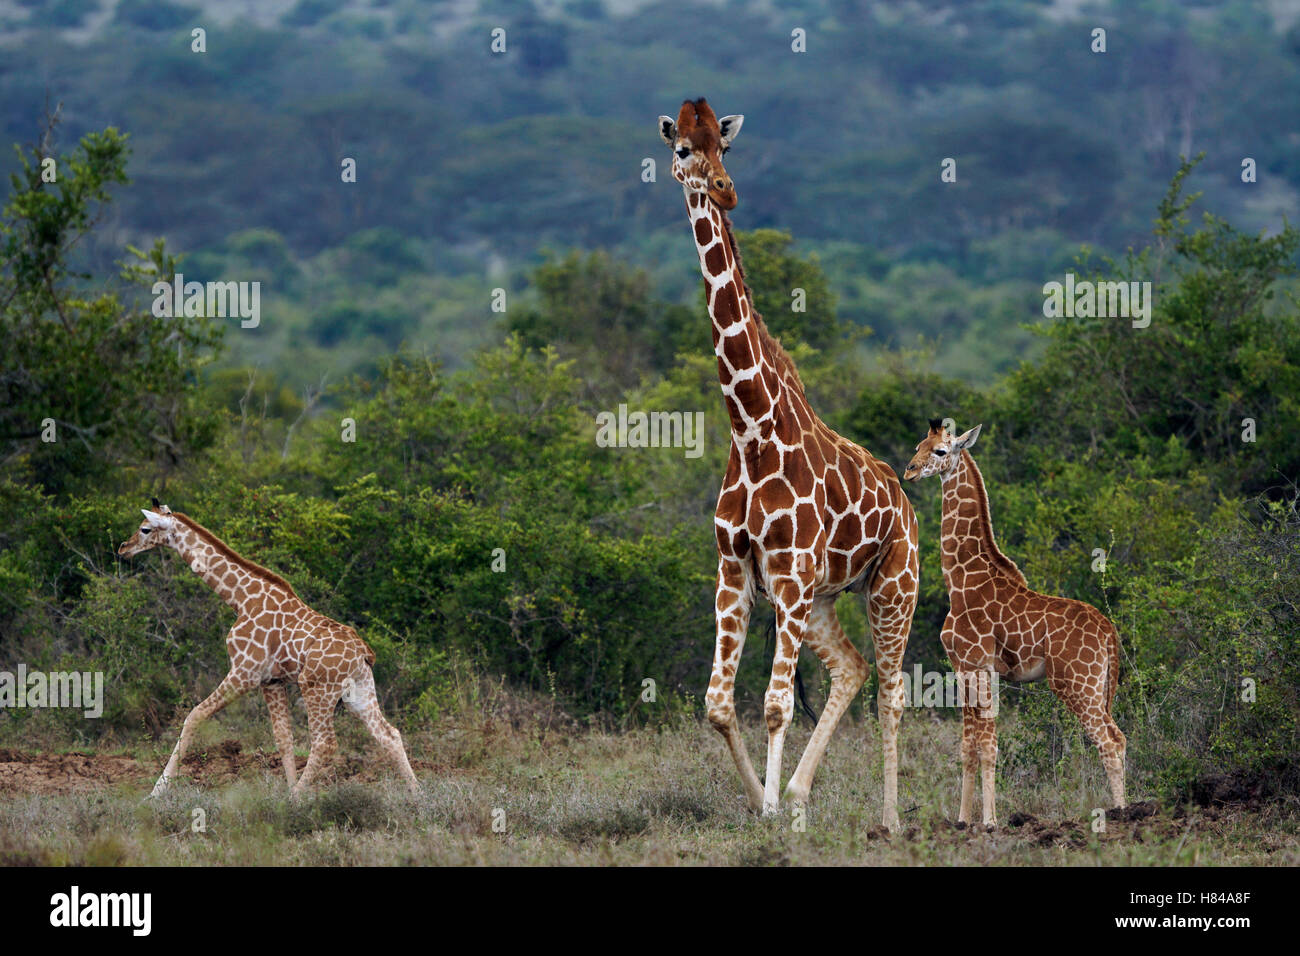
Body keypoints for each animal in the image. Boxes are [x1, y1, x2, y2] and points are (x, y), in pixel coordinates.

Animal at [118, 502, 419, 797]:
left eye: (145, 529)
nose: (123, 548)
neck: (241, 599)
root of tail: (364, 652)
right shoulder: (272, 680)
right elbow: (283, 739)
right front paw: (288, 788)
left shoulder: (245, 672)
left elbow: (194, 716)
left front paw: (157, 791)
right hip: (359, 689)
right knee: (389, 735)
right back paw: (417, 796)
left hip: (317, 688)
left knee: (325, 743)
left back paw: (298, 798)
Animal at [659, 98, 920, 827]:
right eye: (683, 148)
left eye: (726, 147)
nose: (725, 191)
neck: (750, 429)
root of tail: (907, 501)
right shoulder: (737, 572)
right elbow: (719, 705)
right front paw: (765, 804)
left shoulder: (790, 575)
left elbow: (774, 706)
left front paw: (773, 812)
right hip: (825, 596)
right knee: (852, 668)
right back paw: (802, 795)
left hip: (894, 585)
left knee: (891, 688)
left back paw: (890, 818)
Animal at [903, 420, 1126, 827]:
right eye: (918, 446)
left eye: (940, 451)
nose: (909, 470)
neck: (960, 582)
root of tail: (1109, 632)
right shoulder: (963, 669)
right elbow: (967, 748)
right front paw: (963, 820)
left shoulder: (980, 666)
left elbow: (989, 746)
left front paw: (990, 821)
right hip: (1100, 685)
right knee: (1120, 736)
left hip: (1076, 683)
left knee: (1109, 741)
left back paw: (1122, 814)